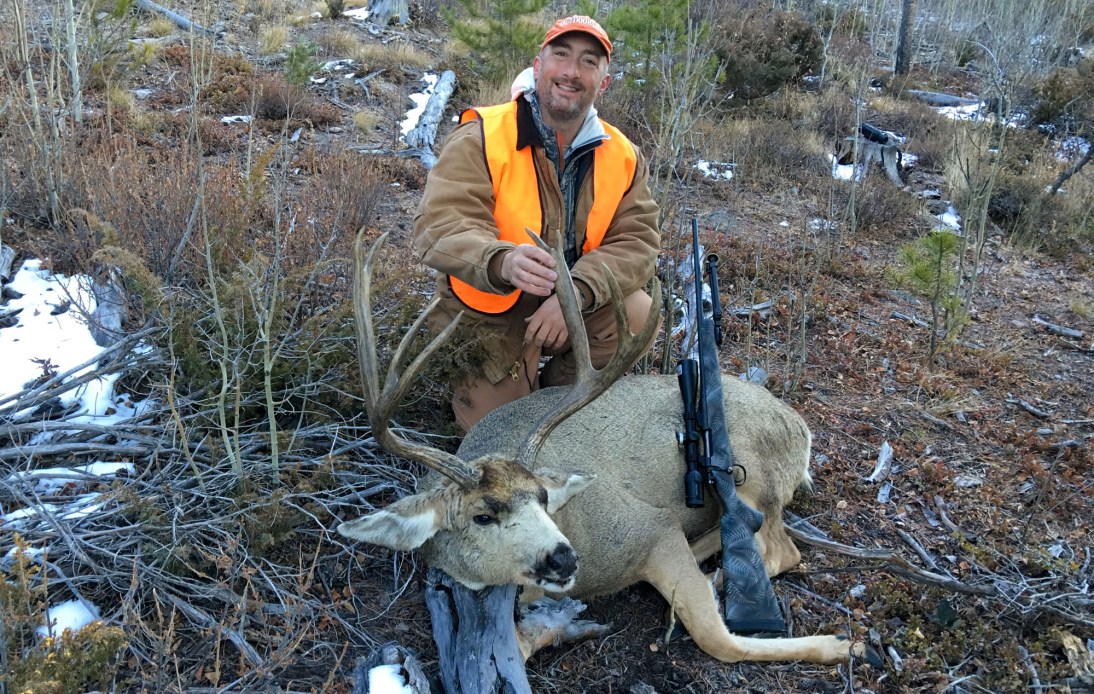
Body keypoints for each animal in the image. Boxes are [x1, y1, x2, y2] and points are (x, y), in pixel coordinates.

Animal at [338, 229, 871, 665]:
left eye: (543, 498)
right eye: (481, 516)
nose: (562, 558)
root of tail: (801, 427)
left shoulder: (646, 529)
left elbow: (716, 637)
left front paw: (841, 644)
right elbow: (521, 641)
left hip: (754, 471)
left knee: (780, 548)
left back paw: (727, 580)